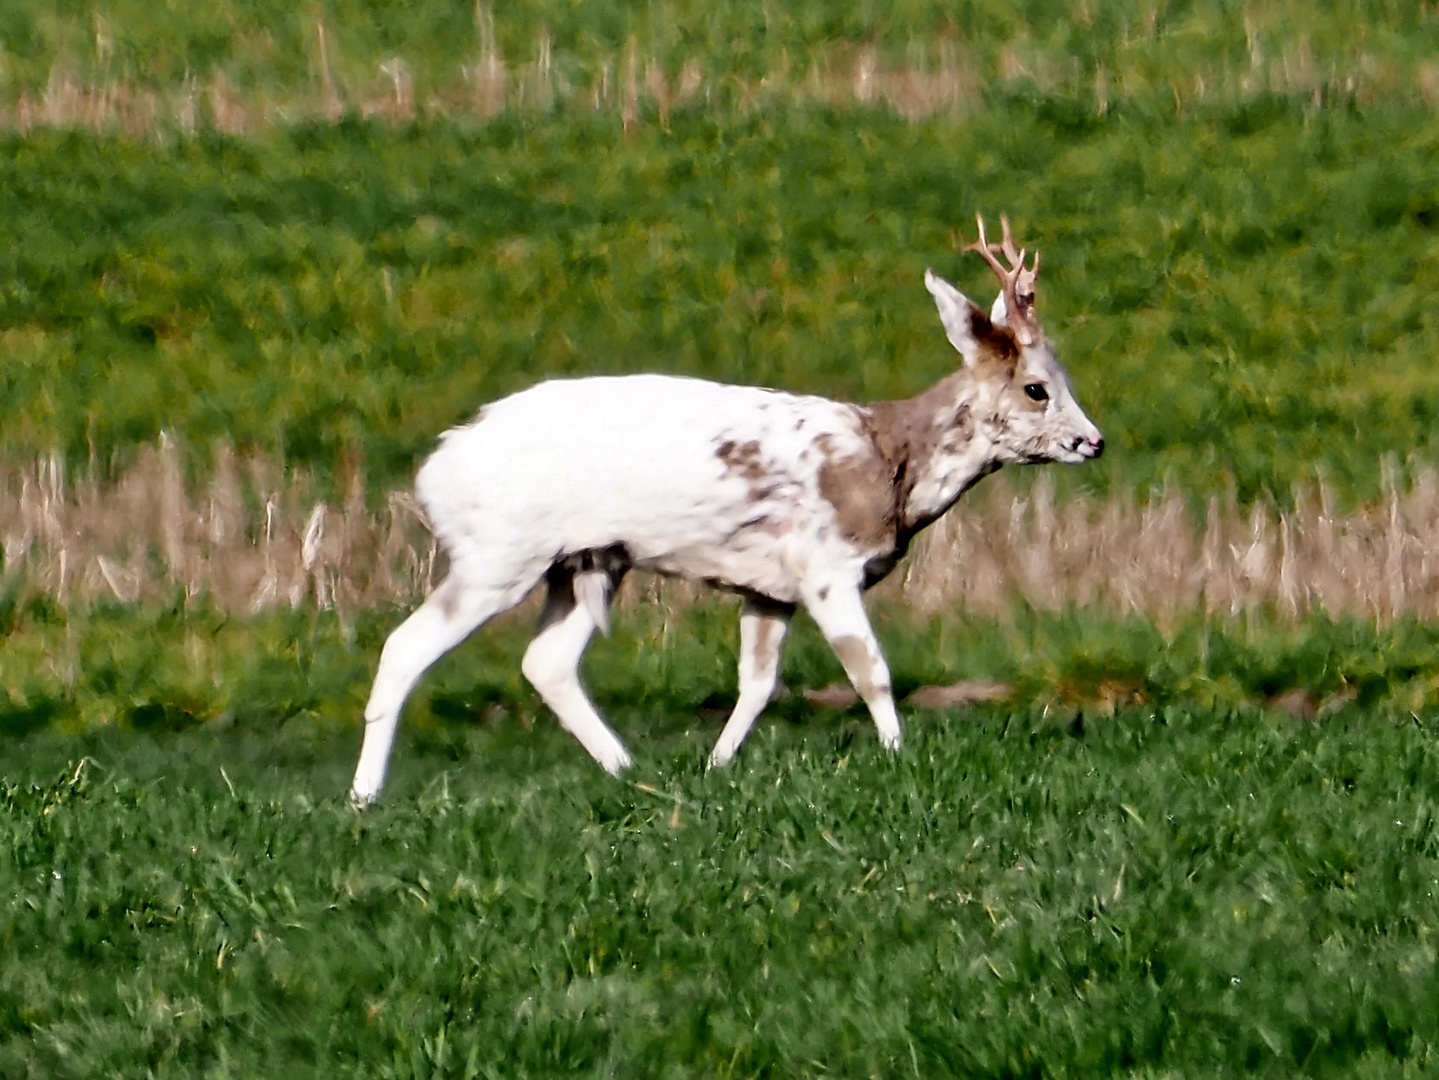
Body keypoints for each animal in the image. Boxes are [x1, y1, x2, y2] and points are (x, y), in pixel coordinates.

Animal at [348, 215, 1099, 805]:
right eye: (1036, 388)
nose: (1093, 440)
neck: (887, 462)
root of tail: (434, 469)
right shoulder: (824, 565)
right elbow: (870, 670)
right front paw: (897, 755)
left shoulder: (770, 588)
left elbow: (758, 683)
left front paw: (716, 765)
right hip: (498, 552)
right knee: (404, 645)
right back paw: (364, 795)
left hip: (587, 561)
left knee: (547, 662)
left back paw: (628, 770)